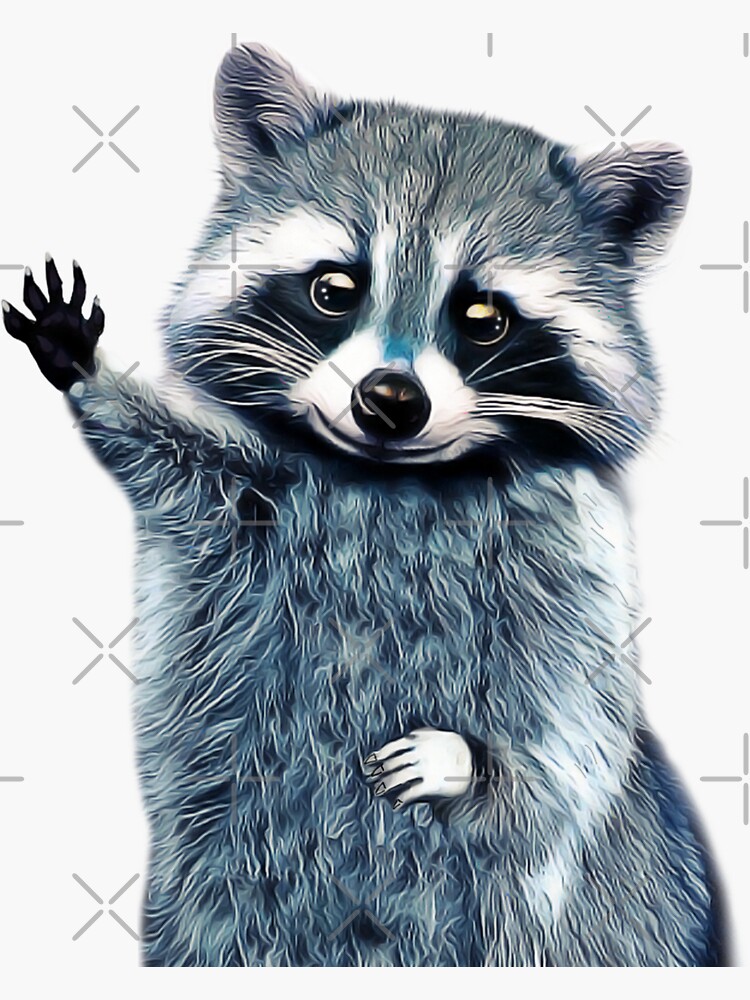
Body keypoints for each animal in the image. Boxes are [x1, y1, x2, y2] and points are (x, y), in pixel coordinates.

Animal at [3, 43, 728, 966]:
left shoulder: (569, 550)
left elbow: (575, 733)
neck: (393, 476)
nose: (390, 398)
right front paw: (92, 374)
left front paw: (465, 764)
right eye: (334, 287)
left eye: (484, 315)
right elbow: (167, 458)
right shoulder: (251, 492)